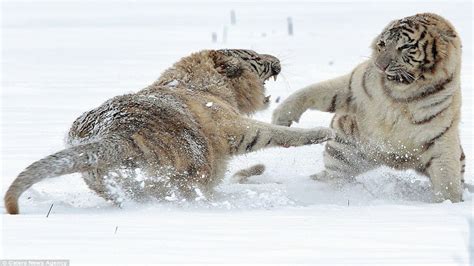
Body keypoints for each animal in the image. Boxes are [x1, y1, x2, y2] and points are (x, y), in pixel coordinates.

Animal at [3, 48, 334, 214]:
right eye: (256, 57)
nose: (276, 60)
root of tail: (113, 133)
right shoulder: (233, 126)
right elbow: (275, 133)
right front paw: (322, 132)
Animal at [272, 13, 464, 202]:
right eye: (382, 44)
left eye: (405, 47)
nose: (380, 66)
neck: (400, 95)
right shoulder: (353, 88)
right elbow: (312, 91)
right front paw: (281, 118)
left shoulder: (439, 136)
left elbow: (447, 177)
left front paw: (449, 202)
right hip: (344, 153)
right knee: (334, 176)